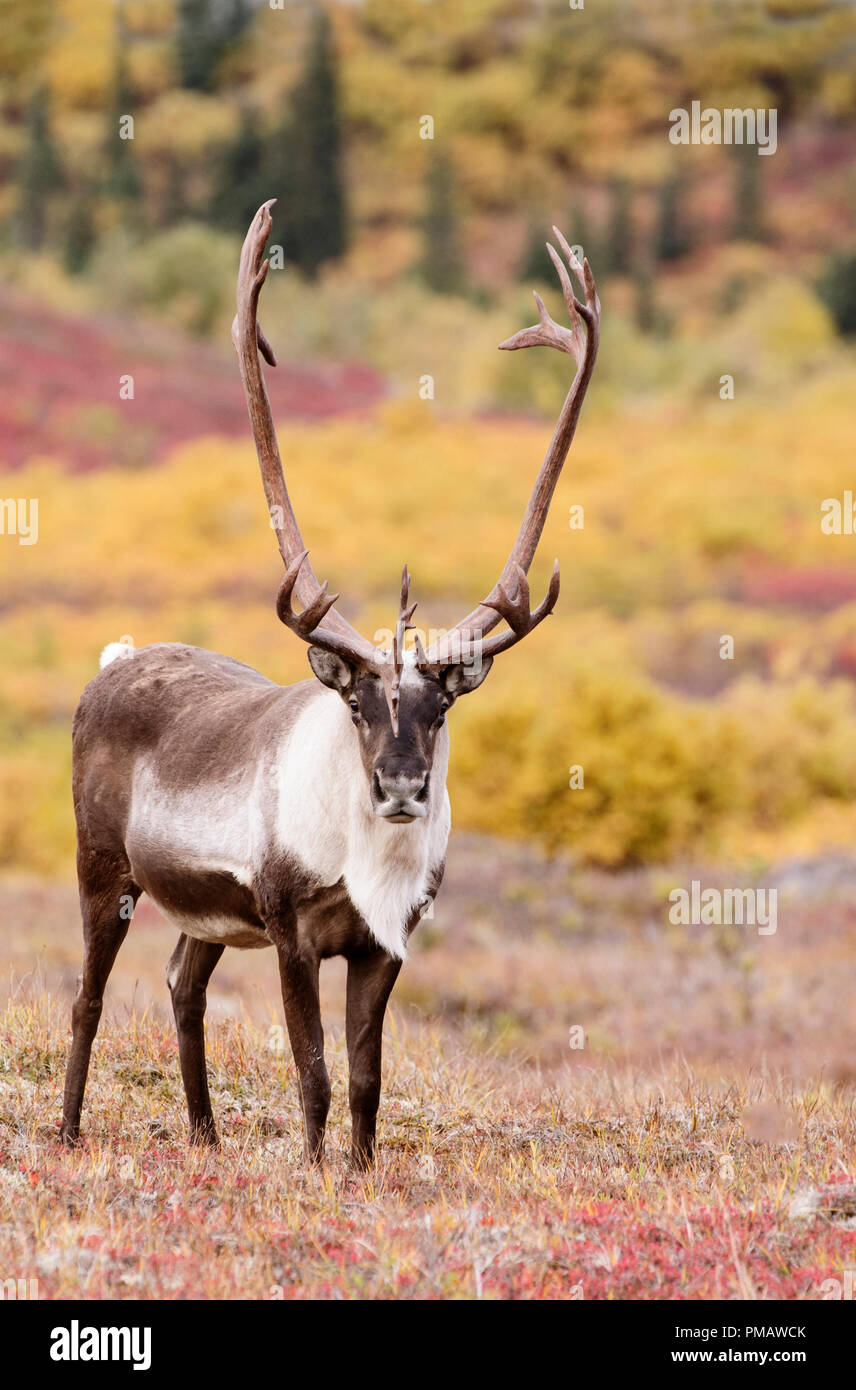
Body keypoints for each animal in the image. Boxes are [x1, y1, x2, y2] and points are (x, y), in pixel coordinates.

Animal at [60, 202, 600, 1168]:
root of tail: (112, 666)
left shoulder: (385, 945)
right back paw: (69, 1131)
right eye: (356, 701)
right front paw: (315, 1173)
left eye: (442, 703)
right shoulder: (292, 931)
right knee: (87, 997)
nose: (401, 785)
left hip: (206, 912)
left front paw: (360, 1170)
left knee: (181, 979)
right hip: (104, 868)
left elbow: (364, 1081)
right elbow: (311, 1073)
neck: (369, 863)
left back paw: (205, 1138)